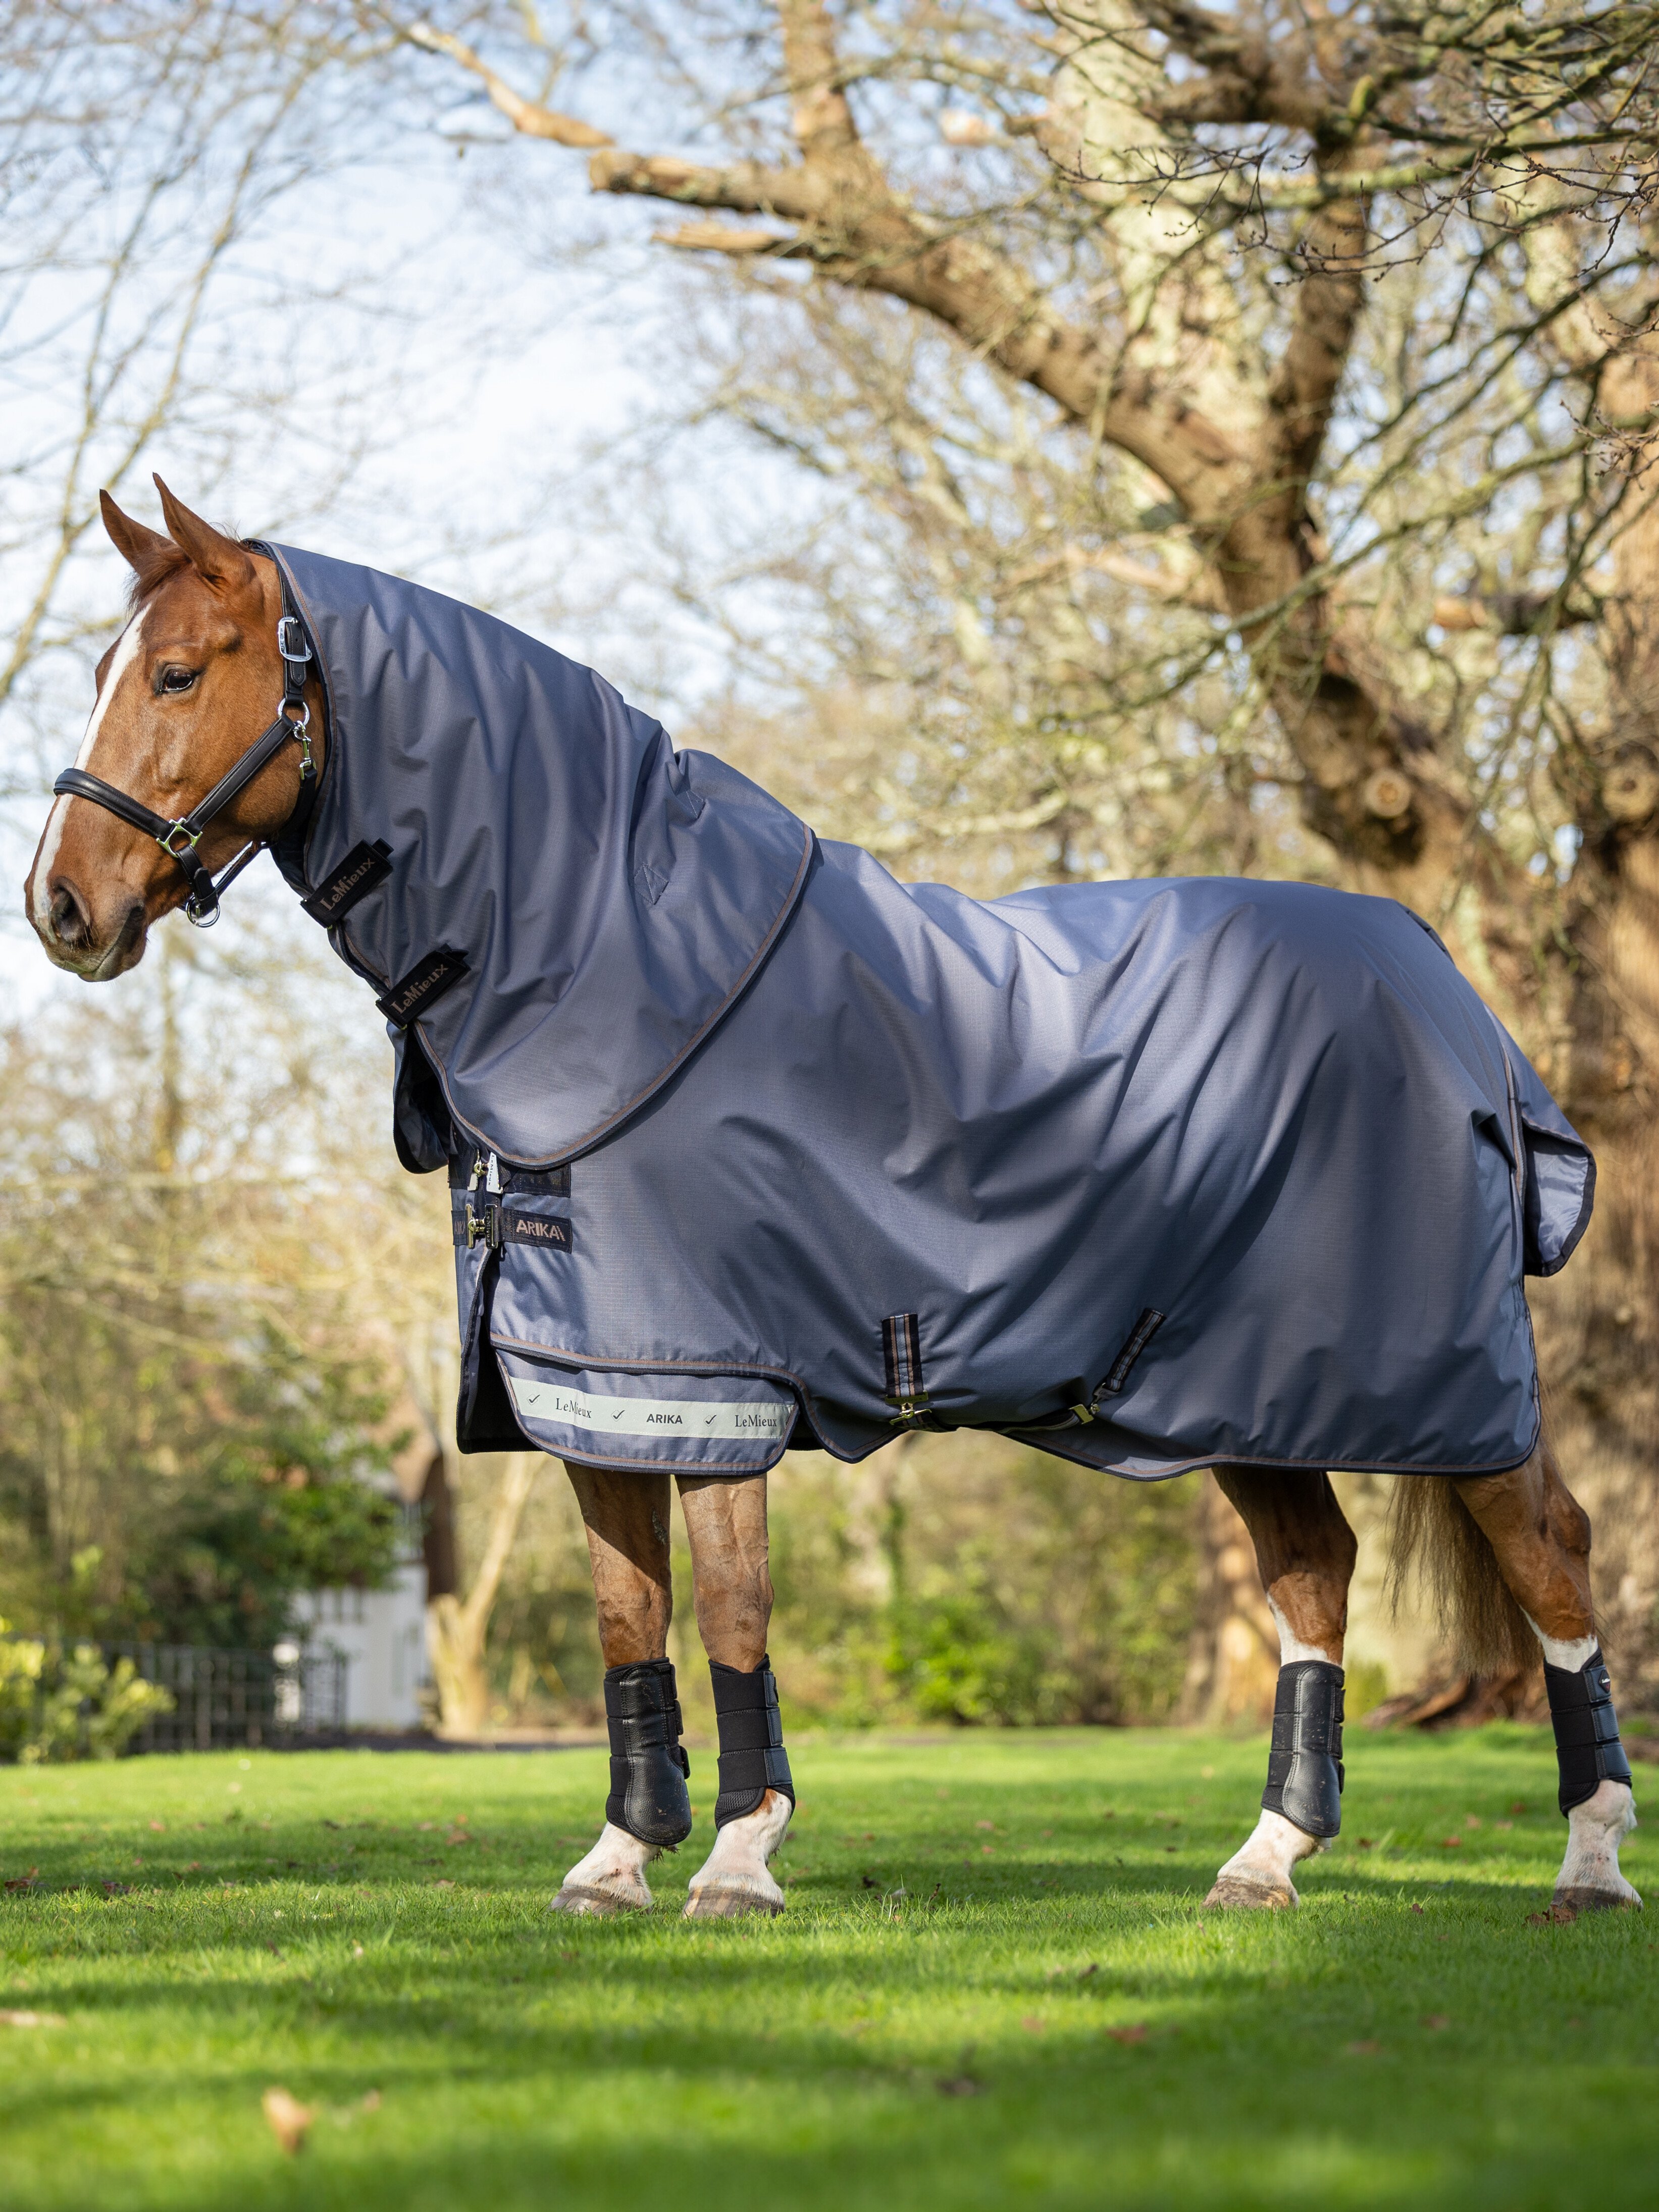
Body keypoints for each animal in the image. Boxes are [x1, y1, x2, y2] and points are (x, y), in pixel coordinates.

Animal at [25, 480, 1639, 1920]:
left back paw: (1587, 1860)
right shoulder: (586, 1378)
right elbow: (629, 1616)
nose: (62, 907)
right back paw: (1263, 1862)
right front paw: (617, 1859)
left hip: (1439, 1382)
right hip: (1243, 1391)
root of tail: (1443, 985)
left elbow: (733, 1611)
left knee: (1552, 1553)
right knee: (1314, 1574)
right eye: (104, 671)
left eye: (177, 670)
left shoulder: (711, 1379)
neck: (615, 960)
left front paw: (739, 1861)